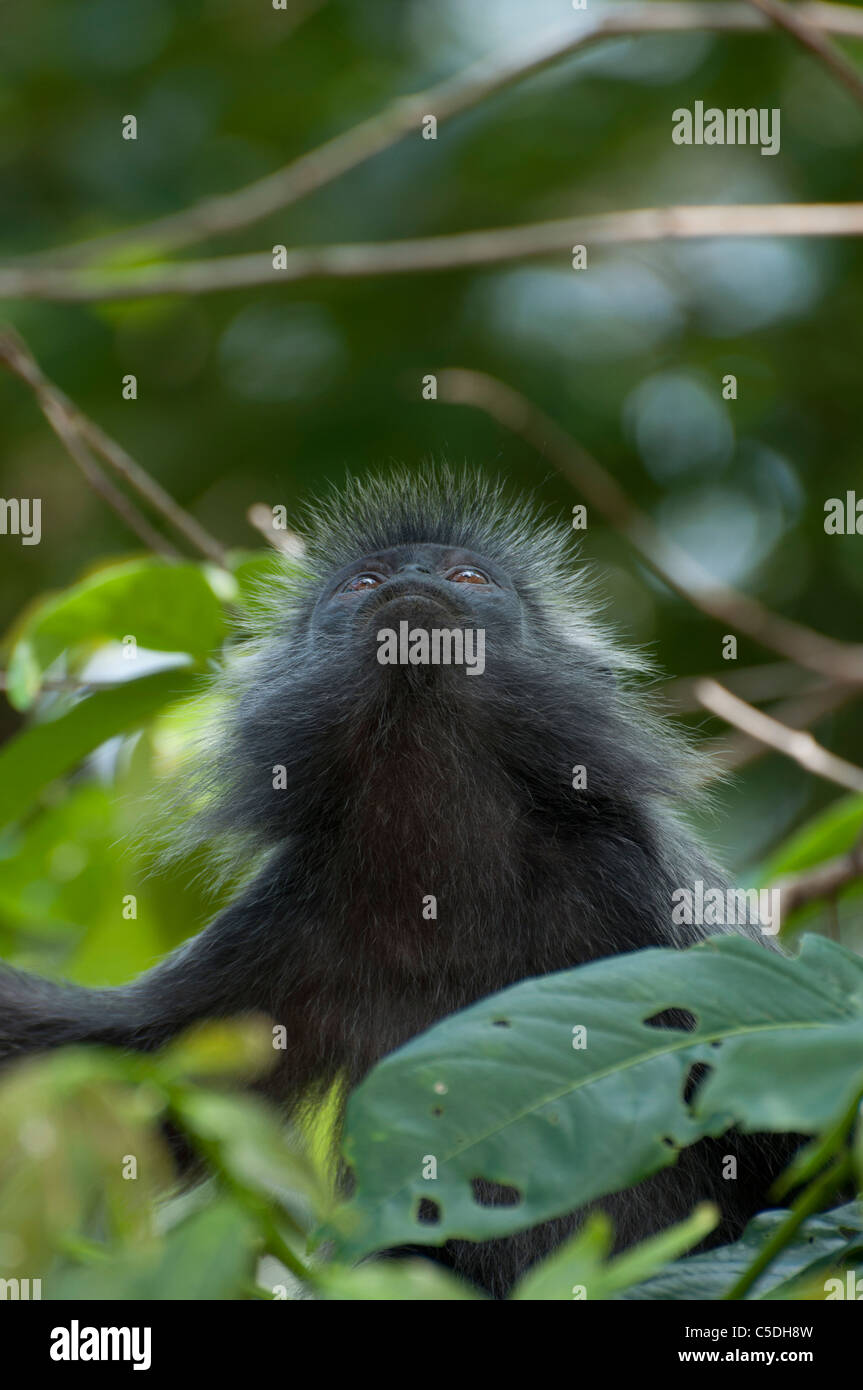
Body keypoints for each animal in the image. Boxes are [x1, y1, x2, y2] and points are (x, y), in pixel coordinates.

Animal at [0, 469, 791, 1298]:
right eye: (364, 582)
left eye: (468, 577)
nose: (409, 579)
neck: (445, 873)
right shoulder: (288, 920)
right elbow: (141, 1077)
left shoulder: (629, 877)